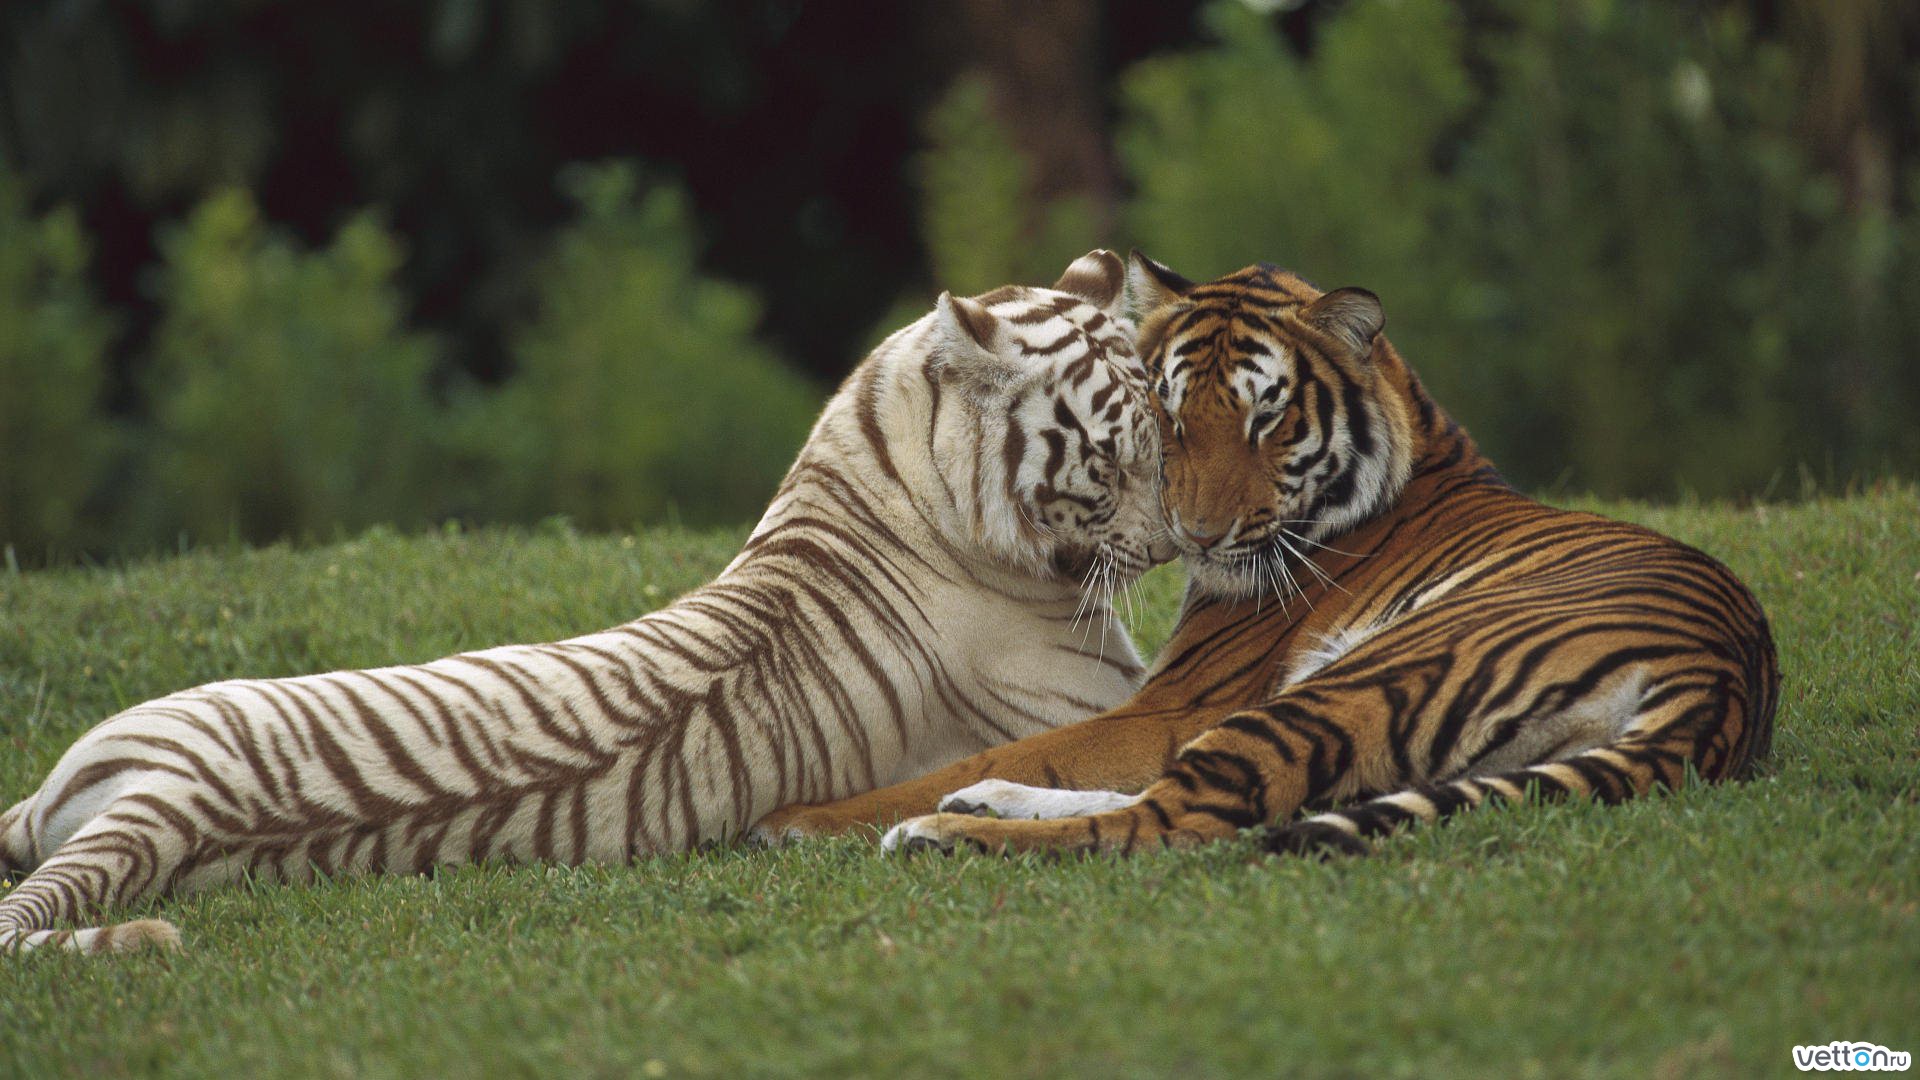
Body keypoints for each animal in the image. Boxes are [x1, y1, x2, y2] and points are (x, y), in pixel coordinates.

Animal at [751, 253, 1779, 857]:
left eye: (1266, 418)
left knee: (1171, 819)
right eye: (1170, 416)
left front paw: (803, 818)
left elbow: (1021, 748)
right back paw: (974, 810)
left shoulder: (1179, 703)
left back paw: (935, 831)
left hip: (1353, 682)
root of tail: (1723, 680)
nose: (1194, 537)